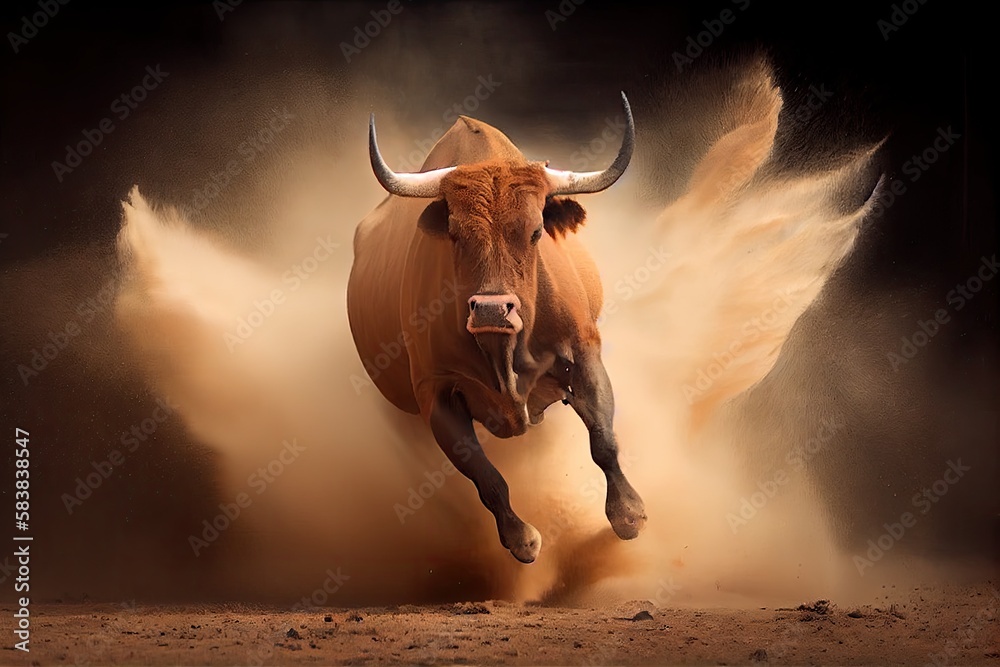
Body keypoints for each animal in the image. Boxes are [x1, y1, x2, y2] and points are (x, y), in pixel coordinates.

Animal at [347, 93, 646, 563]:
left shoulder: (585, 353)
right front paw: (522, 539)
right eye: (455, 233)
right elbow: (486, 477)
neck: (503, 356)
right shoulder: (434, 393)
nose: (491, 310)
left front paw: (628, 515)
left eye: (536, 231)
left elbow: (604, 439)